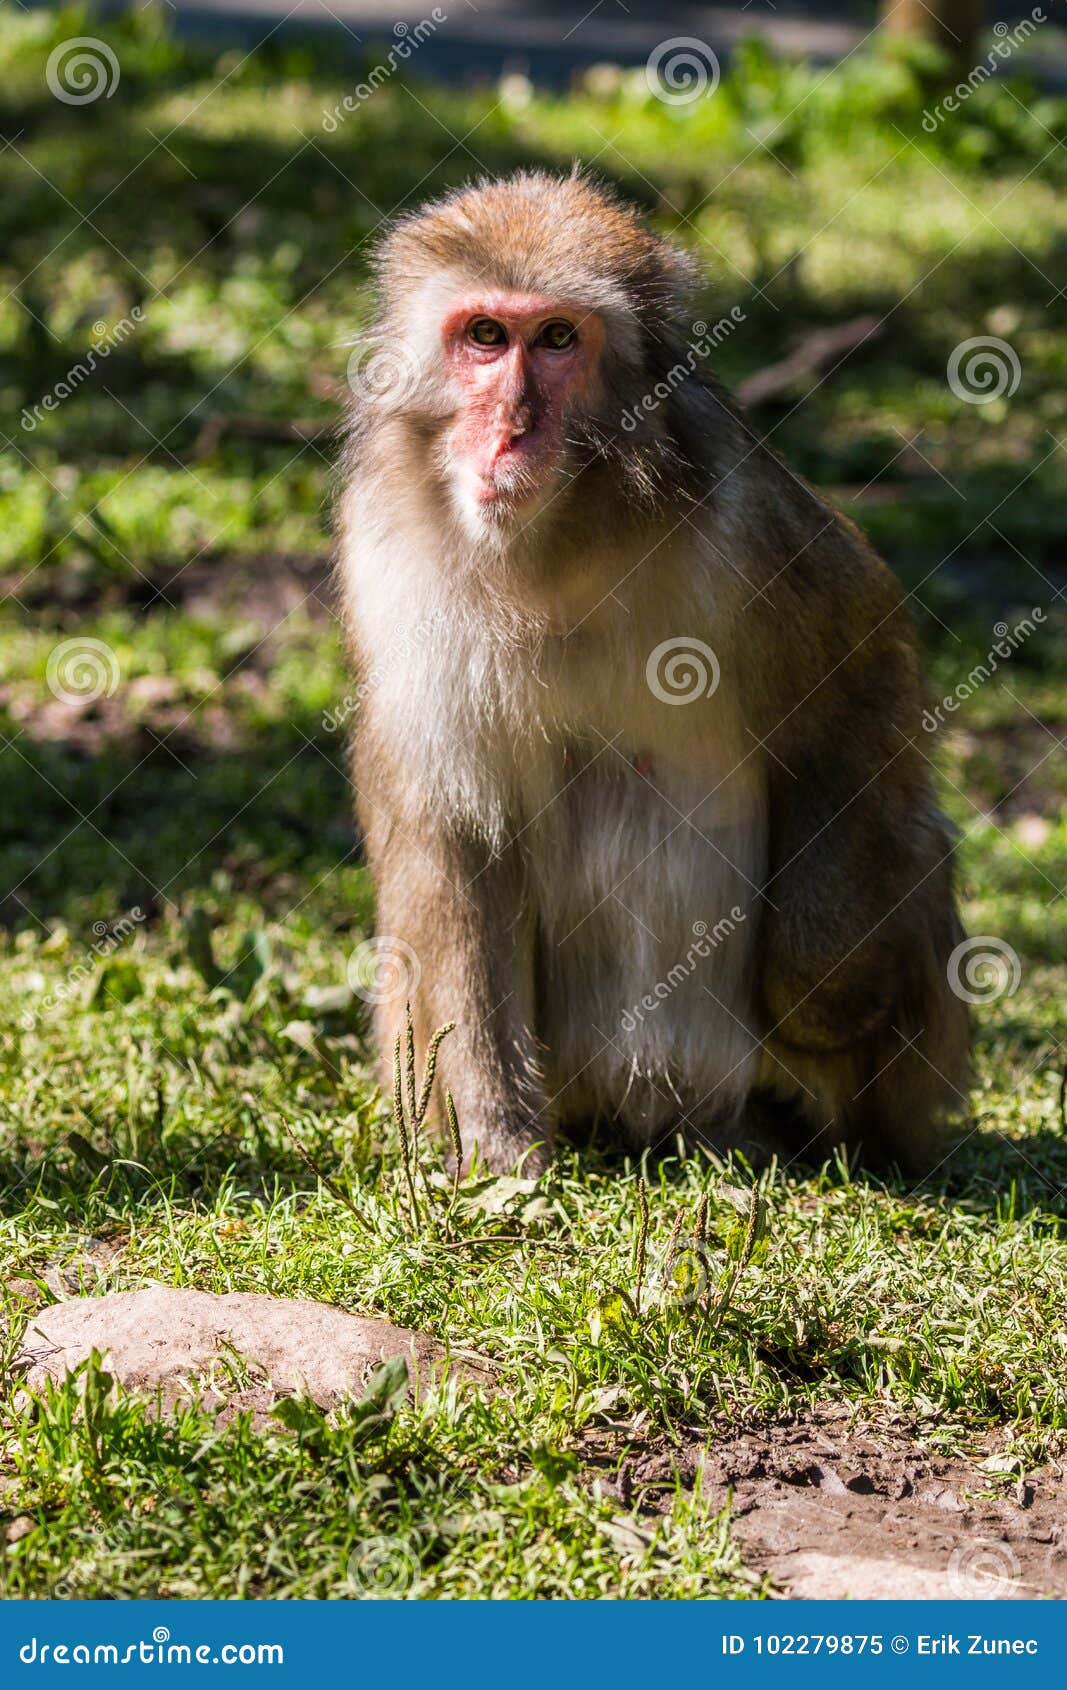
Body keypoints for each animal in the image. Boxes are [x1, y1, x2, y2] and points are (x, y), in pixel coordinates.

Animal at [335, 168, 970, 1177]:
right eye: (485, 336)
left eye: (557, 339)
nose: (509, 429)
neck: (553, 543)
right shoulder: (384, 551)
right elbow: (454, 835)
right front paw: (497, 1143)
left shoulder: (743, 515)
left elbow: (857, 684)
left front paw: (820, 985)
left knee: (909, 836)